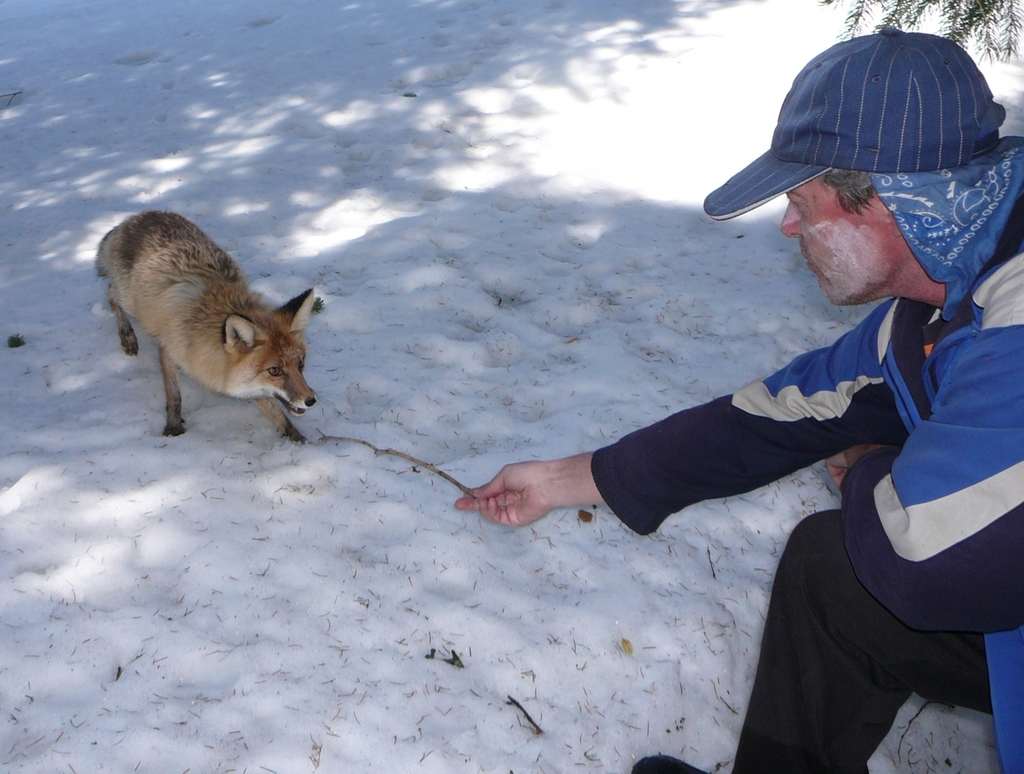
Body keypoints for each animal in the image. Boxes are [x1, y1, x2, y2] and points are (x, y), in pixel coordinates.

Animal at [96, 211, 317, 442]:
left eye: (301, 363)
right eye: (274, 371)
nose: (311, 400)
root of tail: (137, 216)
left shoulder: (237, 380)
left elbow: (276, 412)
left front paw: (299, 440)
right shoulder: (170, 346)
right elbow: (174, 394)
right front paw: (173, 426)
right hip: (131, 300)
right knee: (111, 295)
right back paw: (127, 336)